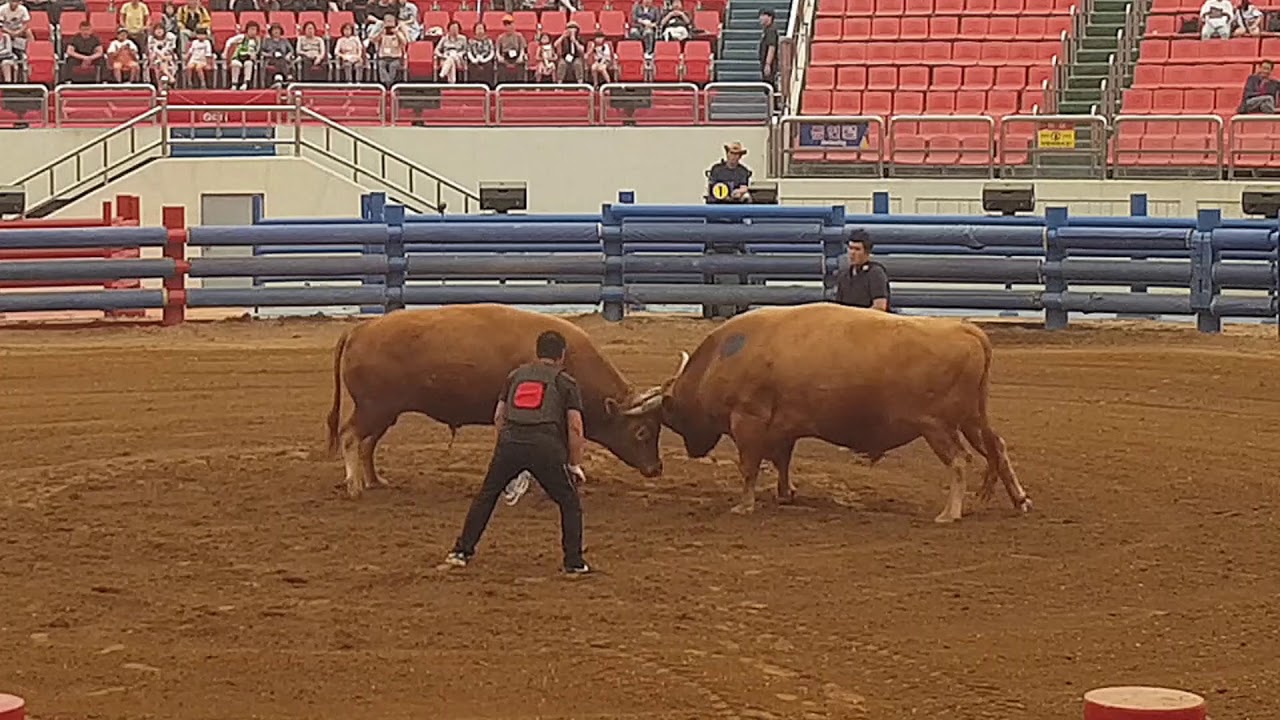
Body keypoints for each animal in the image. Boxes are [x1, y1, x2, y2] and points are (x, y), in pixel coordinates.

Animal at [325, 304, 666, 498]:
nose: (656, 468)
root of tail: (361, 329)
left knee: (367, 444)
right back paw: (354, 485)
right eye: (642, 432)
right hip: (374, 409)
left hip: (384, 412)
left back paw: (374, 480)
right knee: (350, 436)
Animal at [649, 303, 1033, 522]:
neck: (724, 356)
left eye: (673, 418)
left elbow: (749, 467)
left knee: (959, 461)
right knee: (996, 448)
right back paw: (1018, 500)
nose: (693, 450)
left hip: (937, 427)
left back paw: (949, 513)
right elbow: (782, 461)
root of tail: (966, 329)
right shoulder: (783, 429)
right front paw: (785, 494)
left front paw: (744, 505)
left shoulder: (749, 422)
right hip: (971, 420)